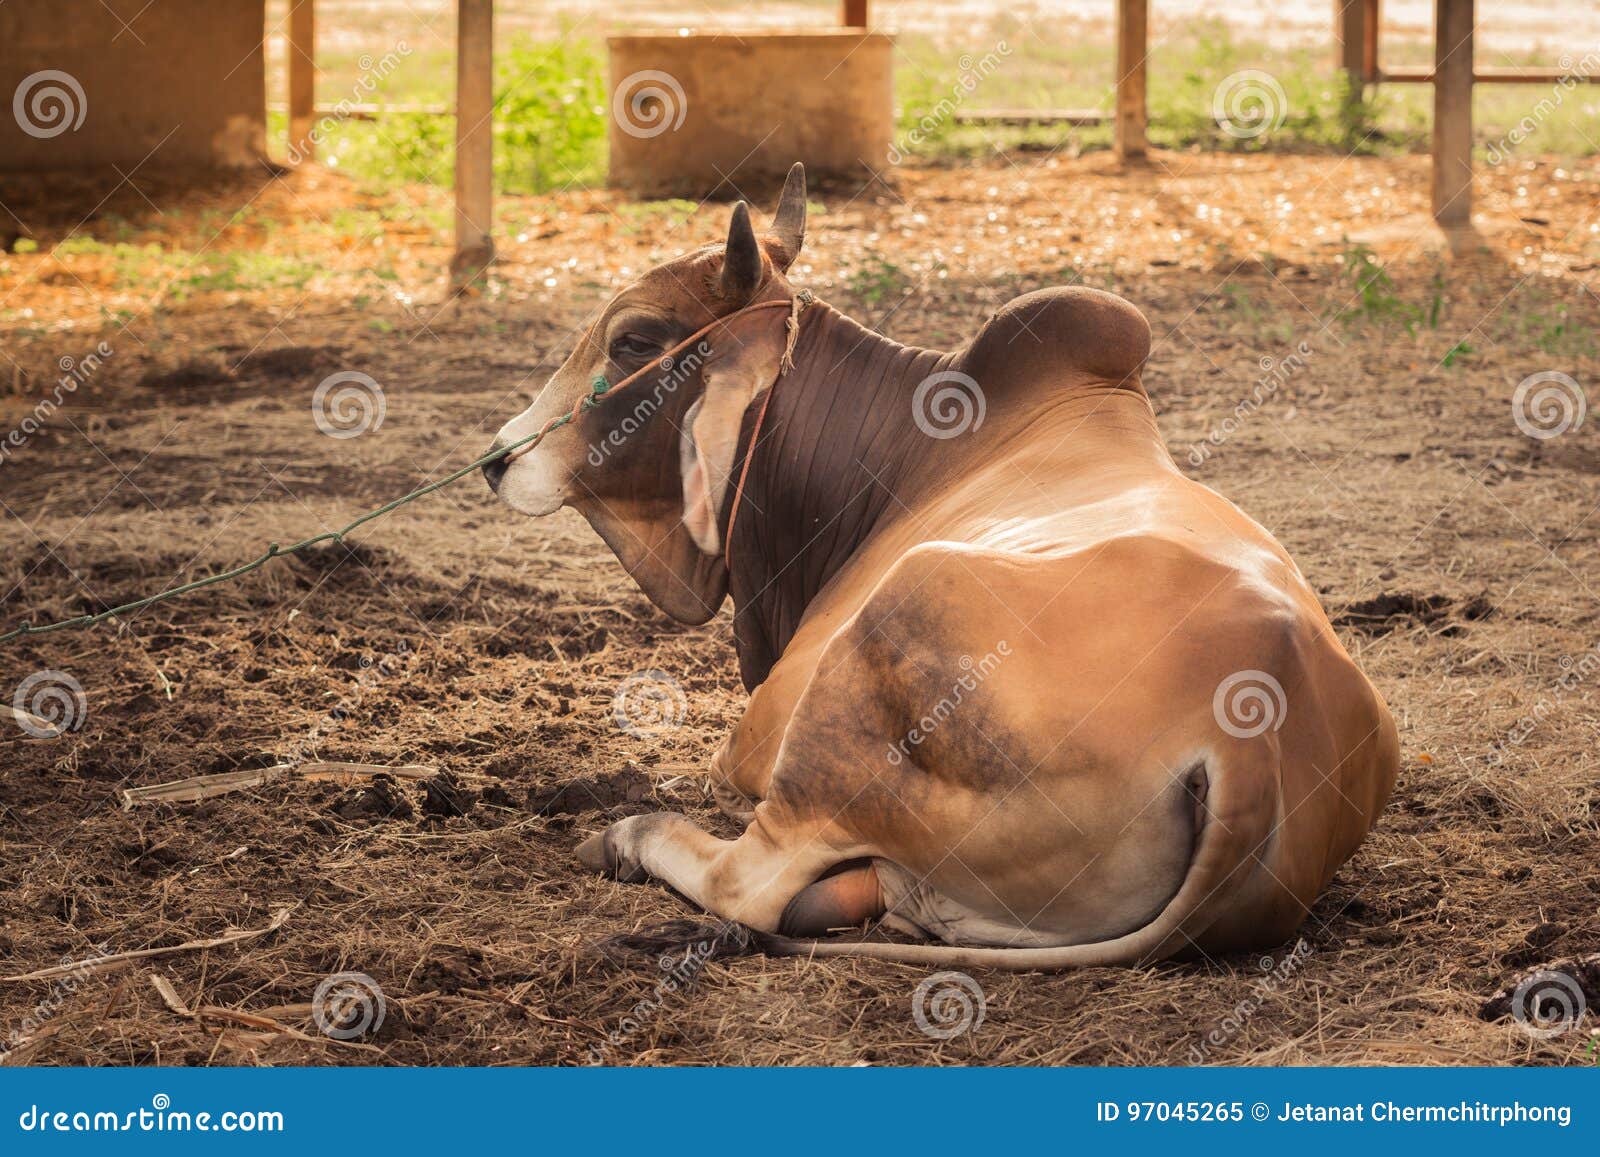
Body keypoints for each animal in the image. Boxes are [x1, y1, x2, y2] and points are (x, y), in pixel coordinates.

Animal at [483, 164, 1398, 969]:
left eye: (633, 337)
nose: (497, 457)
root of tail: (1253, 732)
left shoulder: (755, 739)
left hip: (888, 632)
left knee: (753, 882)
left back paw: (627, 835)